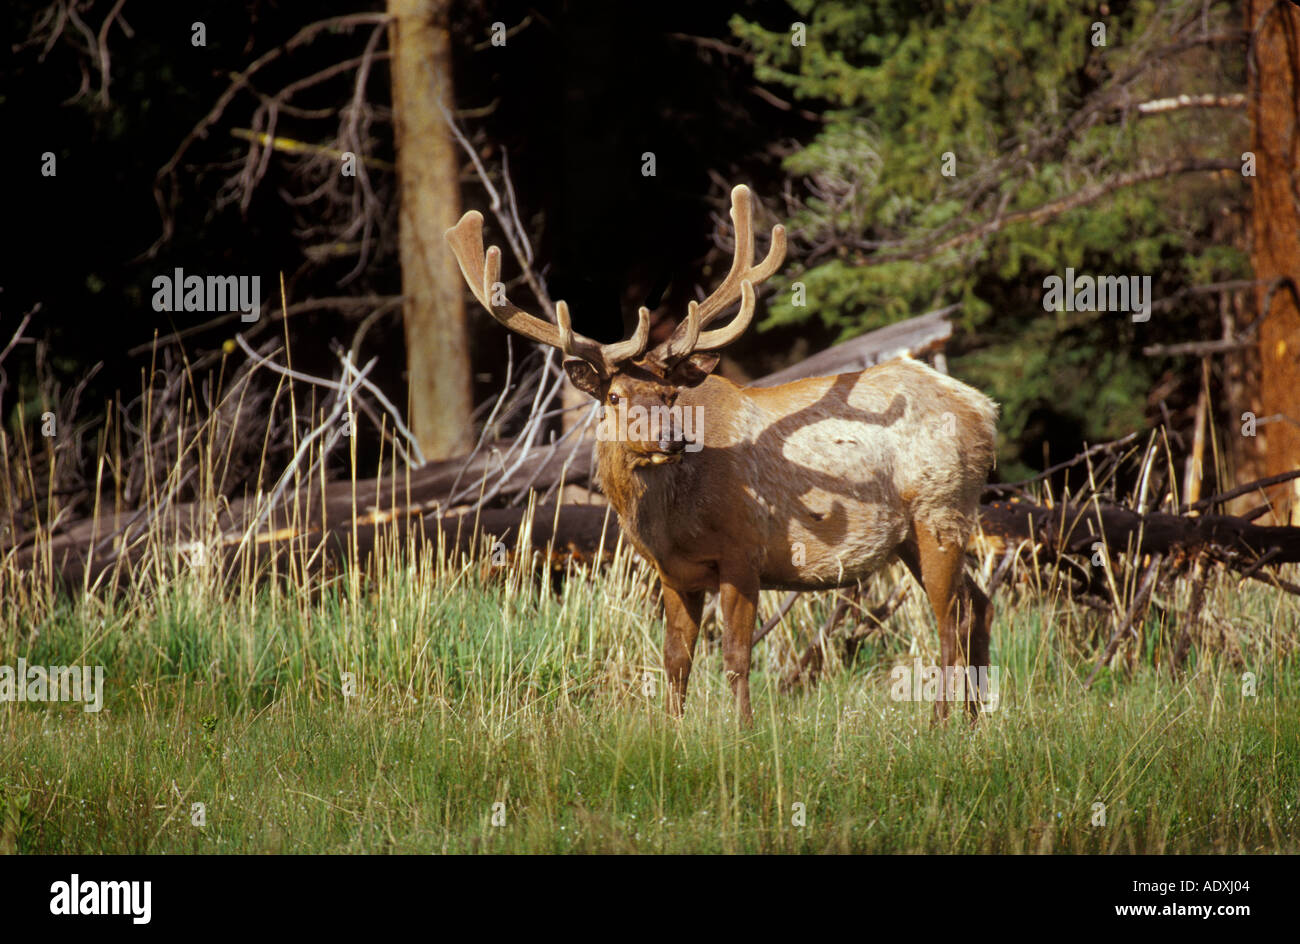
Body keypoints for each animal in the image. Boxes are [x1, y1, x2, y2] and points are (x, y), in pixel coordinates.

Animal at [445, 185, 998, 725]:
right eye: (615, 396)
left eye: (670, 395)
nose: (671, 439)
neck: (670, 522)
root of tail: (983, 409)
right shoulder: (671, 573)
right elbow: (675, 658)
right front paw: (671, 731)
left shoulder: (743, 551)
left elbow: (735, 655)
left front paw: (743, 732)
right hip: (915, 532)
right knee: (980, 603)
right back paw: (976, 720)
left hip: (940, 509)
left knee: (951, 616)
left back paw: (942, 723)